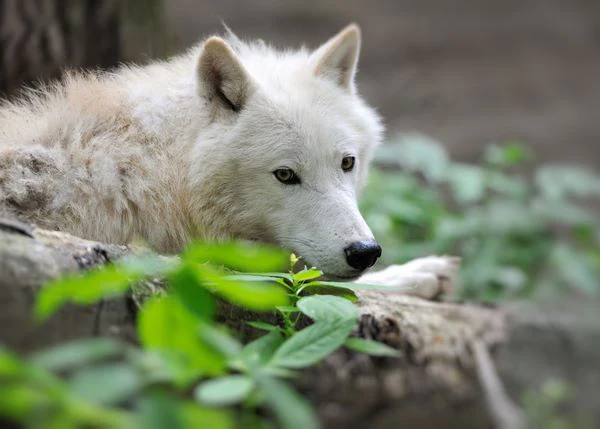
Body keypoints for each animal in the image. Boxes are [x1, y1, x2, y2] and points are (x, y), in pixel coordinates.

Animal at [1, 25, 460, 296]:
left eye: (347, 163)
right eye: (285, 175)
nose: (365, 252)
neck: (155, 172)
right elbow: (321, 288)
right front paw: (412, 275)